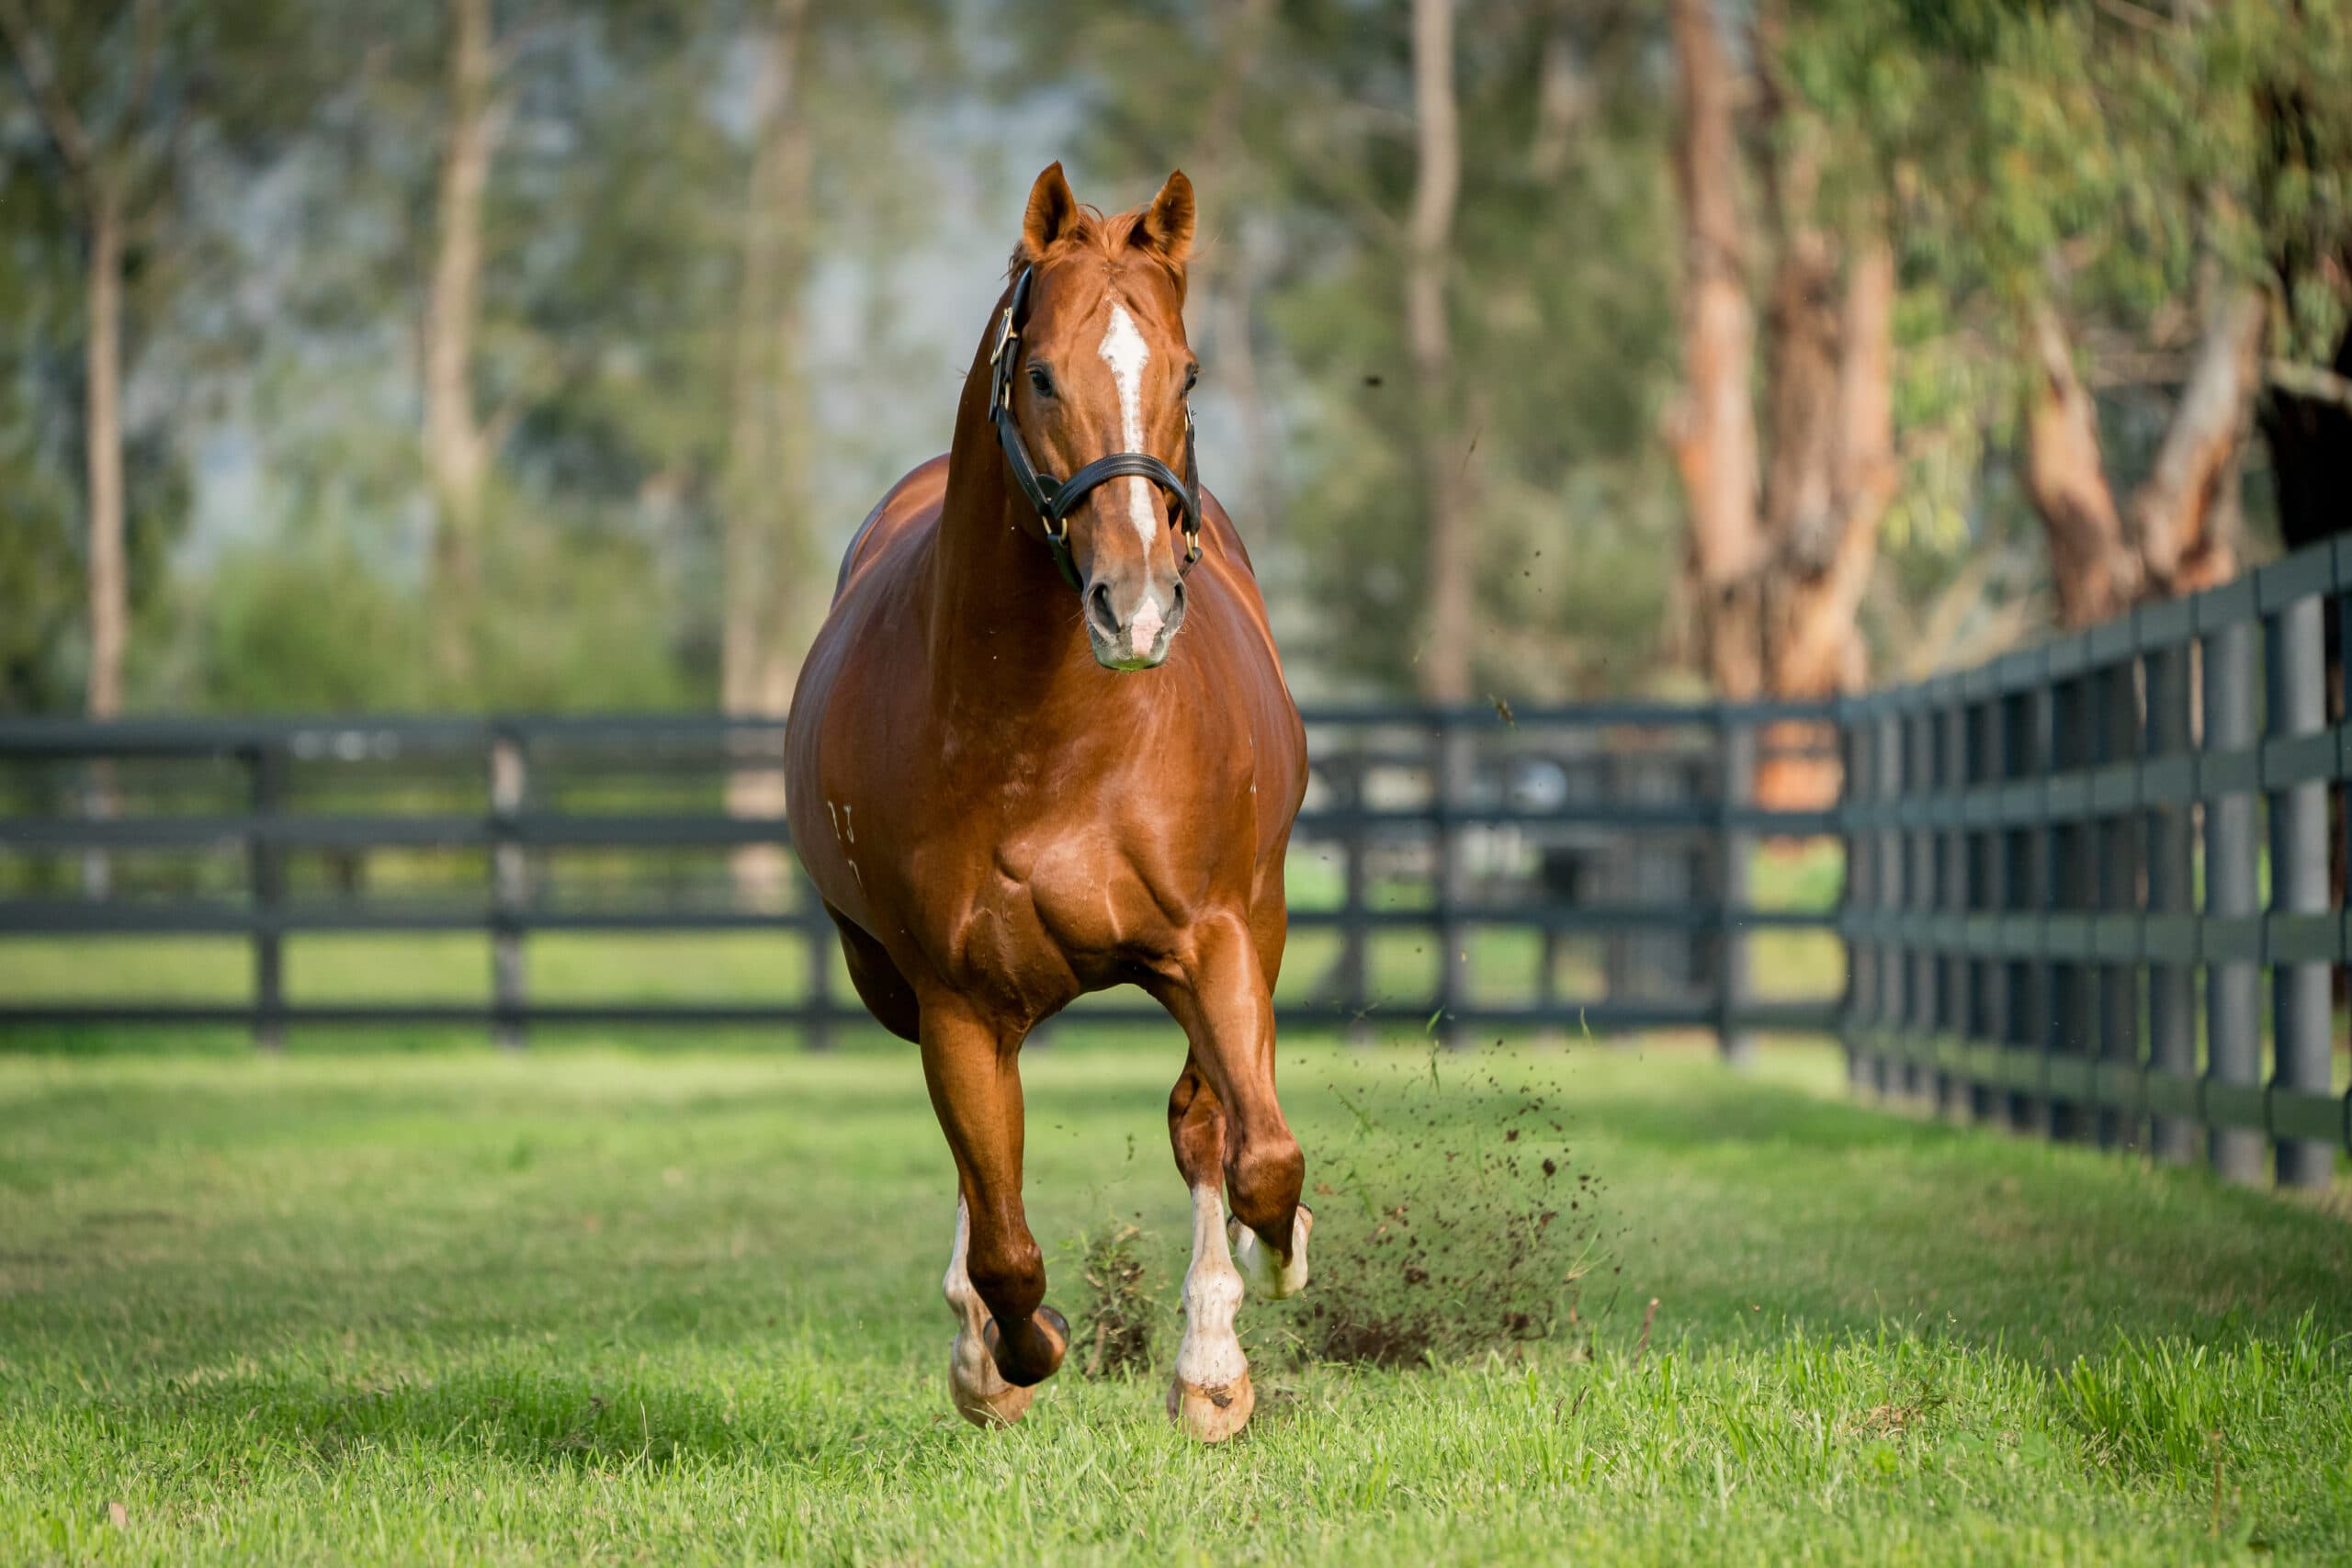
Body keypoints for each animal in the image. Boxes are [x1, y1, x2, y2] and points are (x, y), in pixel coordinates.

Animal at [784, 163, 1312, 1443]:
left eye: (1187, 372)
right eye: (1041, 376)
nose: (1137, 606)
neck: (1057, 744)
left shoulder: (1217, 941)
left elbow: (1257, 1154)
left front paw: (1264, 1280)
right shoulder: (955, 1002)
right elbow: (1008, 1240)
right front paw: (1010, 1354)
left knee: (1203, 1124)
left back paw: (1210, 1361)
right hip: (903, 991)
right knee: (988, 1177)